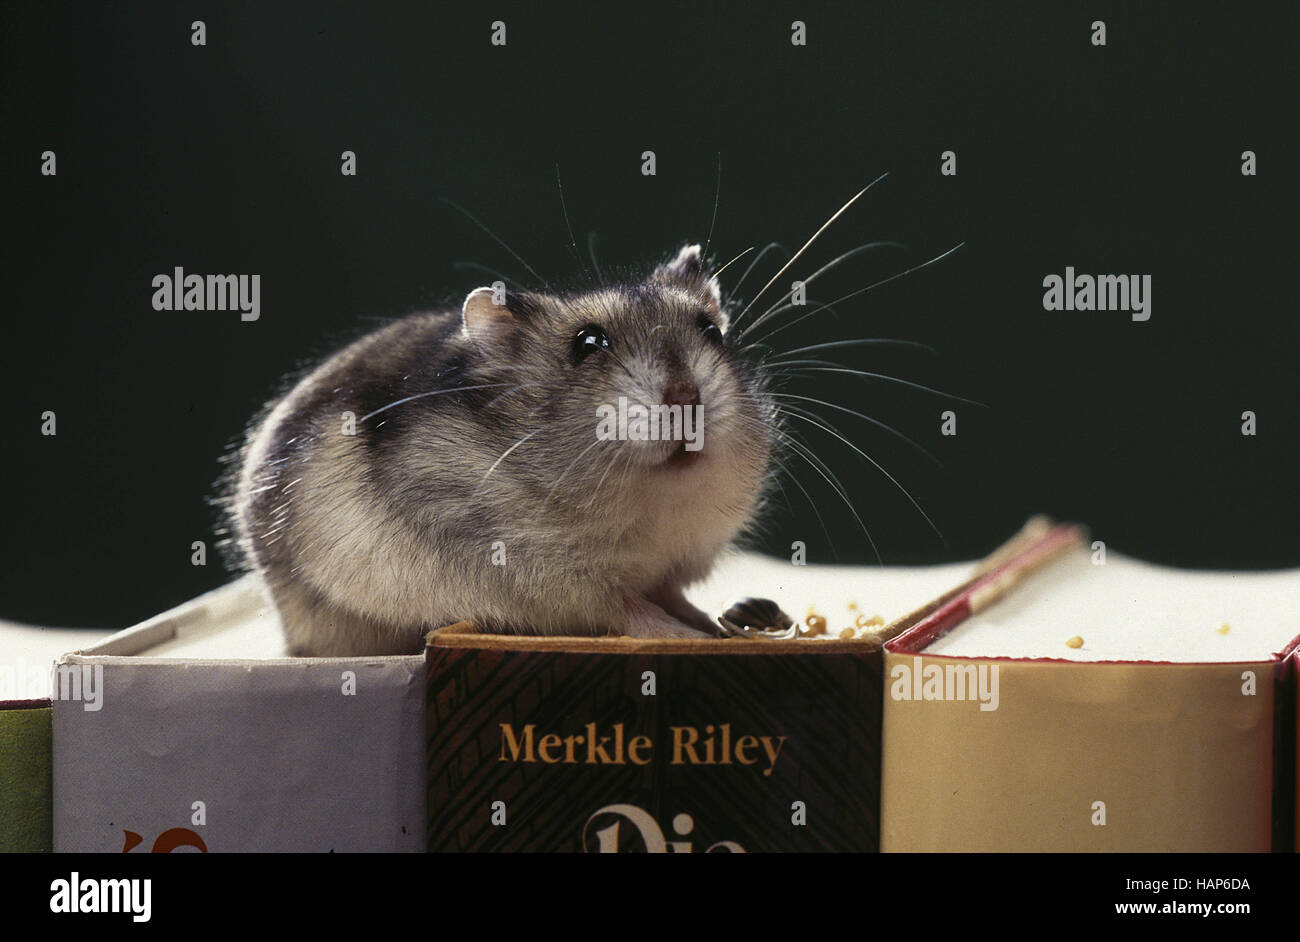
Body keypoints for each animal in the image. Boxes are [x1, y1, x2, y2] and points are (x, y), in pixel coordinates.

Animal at [231, 245, 776, 656]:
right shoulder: (543, 578)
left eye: (711, 330)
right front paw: (690, 637)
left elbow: (672, 594)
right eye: (588, 343)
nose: (686, 399)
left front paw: (718, 624)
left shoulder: (667, 570)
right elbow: (626, 607)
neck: (652, 502)